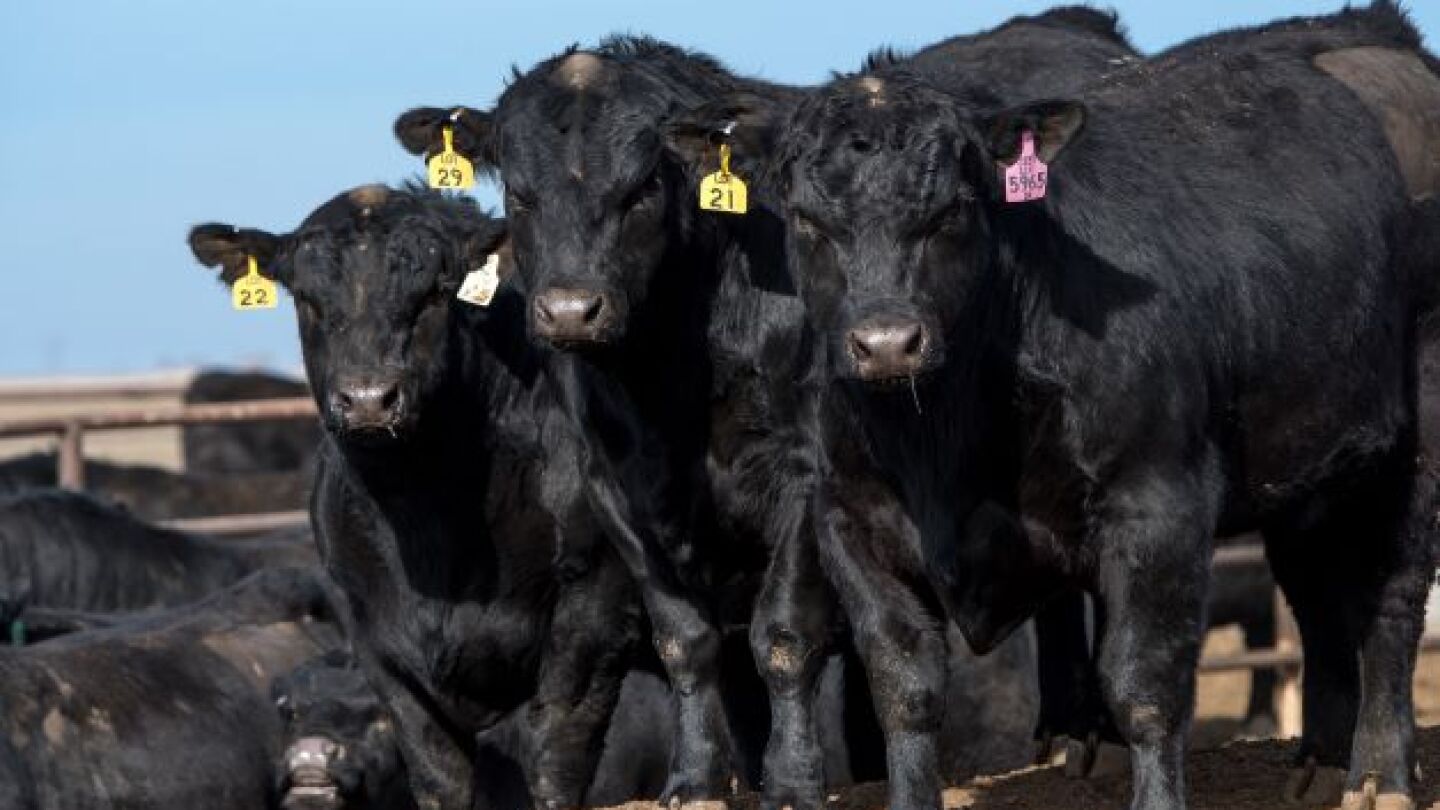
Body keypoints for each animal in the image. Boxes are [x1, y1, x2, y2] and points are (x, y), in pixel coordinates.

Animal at [392, 9, 1136, 808]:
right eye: (521, 197)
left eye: (642, 189)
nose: (570, 311)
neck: (668, 373)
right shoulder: (614, 486)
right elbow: (686, 641)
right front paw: (696, 779)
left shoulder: (807, 477)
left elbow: (783, 636)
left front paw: (791, 780)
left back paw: (1077, 730)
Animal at [683, 2, 1440, 809]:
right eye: (806, 220)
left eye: (953, 210)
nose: (887, 344)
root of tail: (1376, 30)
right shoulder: (850, 520)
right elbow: (903, 684)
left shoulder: (1157, 503)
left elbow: (1146, 683)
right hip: (1309, 462)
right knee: (1316, 596)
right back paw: (1322, 760)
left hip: (1417, 437)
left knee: (1390, 602)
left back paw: (1380, 773)